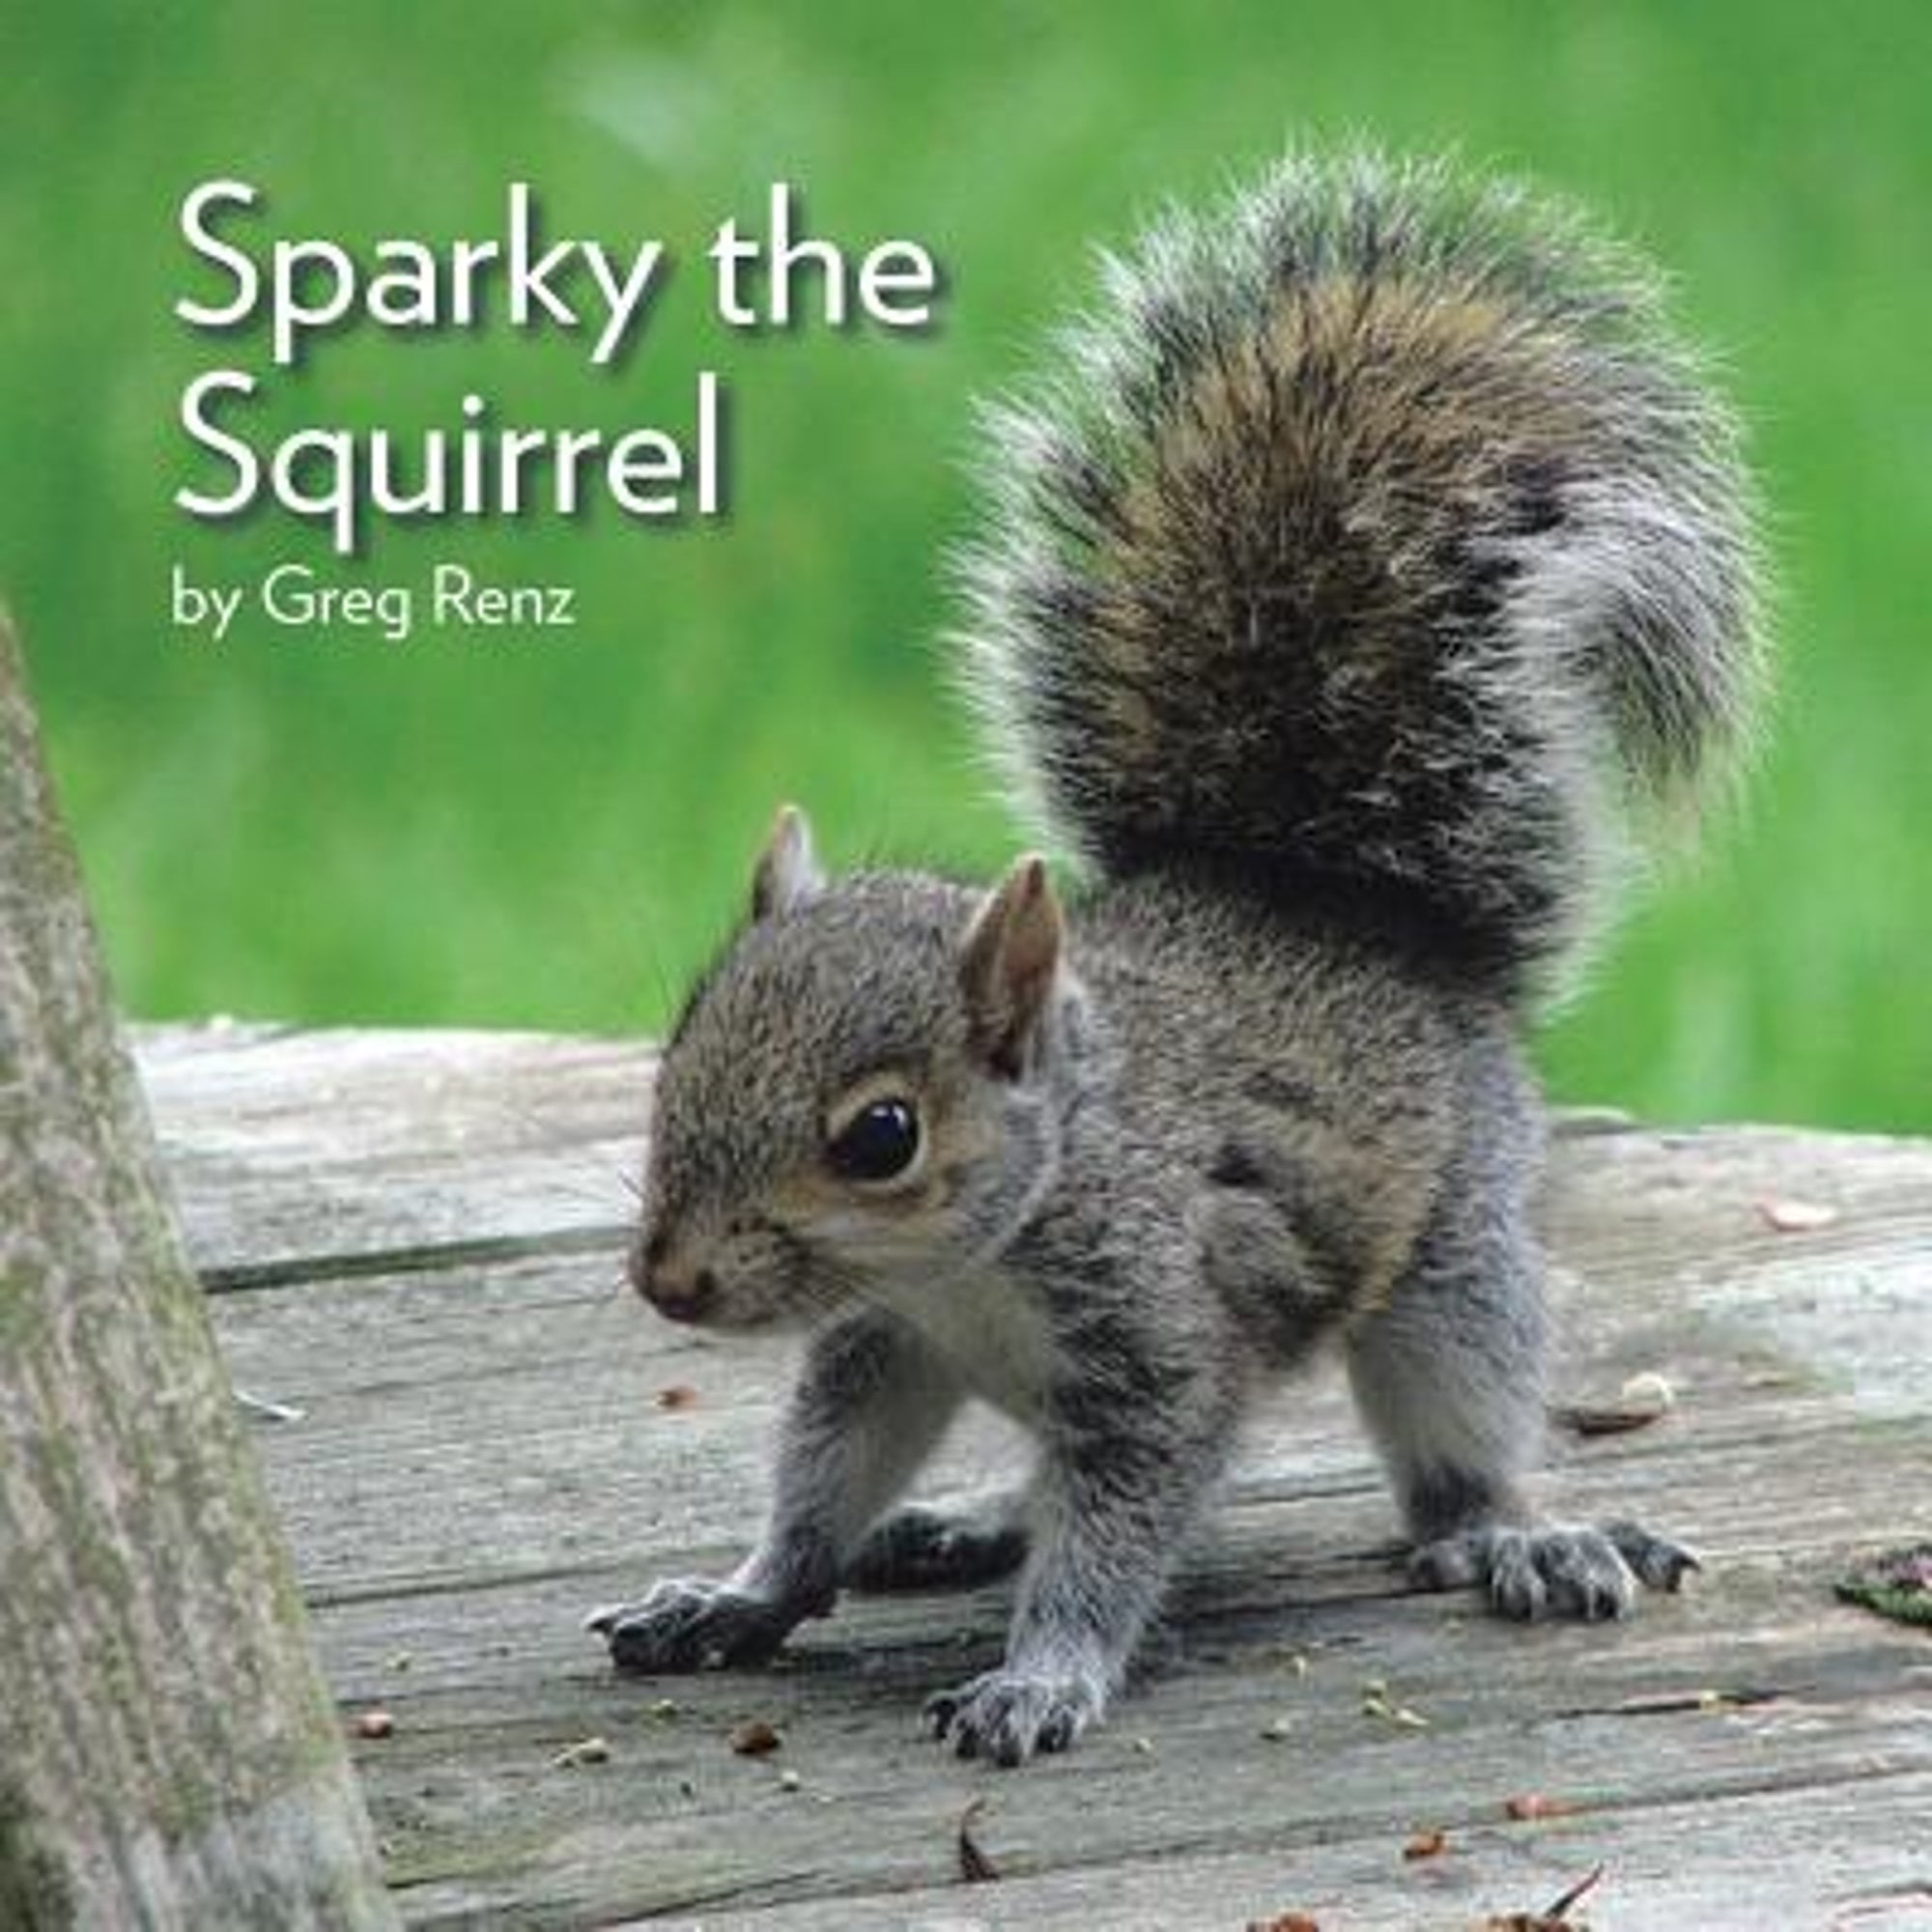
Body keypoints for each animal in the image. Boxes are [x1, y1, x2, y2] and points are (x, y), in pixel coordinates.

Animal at [586, 150, 1764, 1767]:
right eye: (678, 1055)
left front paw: (1042, 1678)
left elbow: (1121, 1532)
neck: (984, 1255)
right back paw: (968, 1518)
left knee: (1454, 1452)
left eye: (881, 1137)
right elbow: (825, 1480)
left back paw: (1514, 1535)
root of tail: (1342, 908)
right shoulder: (884, 1345)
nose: (670, 1282)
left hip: (1454, 1263)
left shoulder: (1169, 1348)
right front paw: (740, 1595)